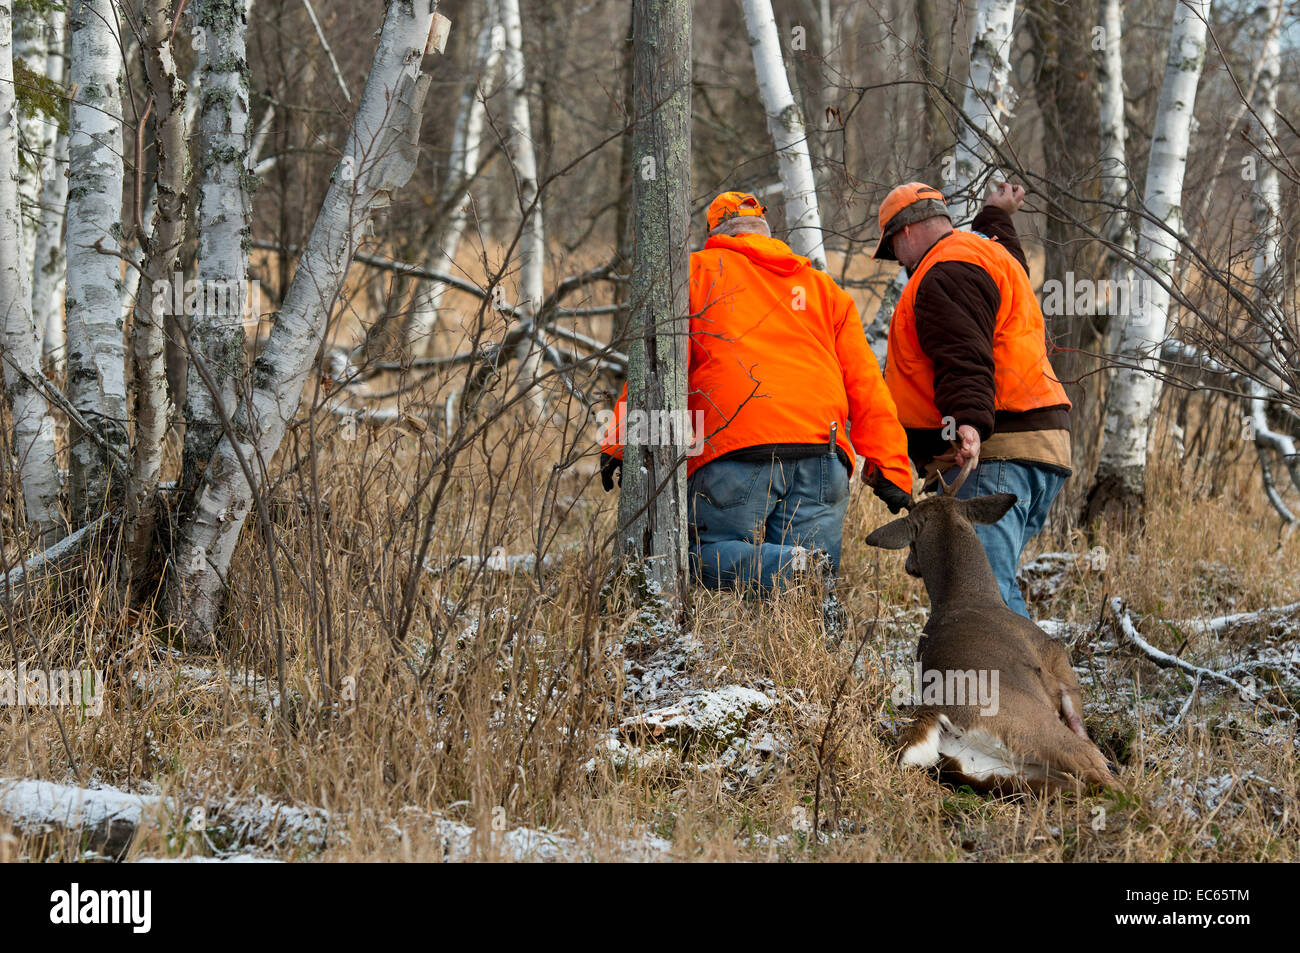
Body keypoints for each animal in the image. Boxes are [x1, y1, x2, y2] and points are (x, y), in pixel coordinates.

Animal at [865, 460, 1116, 794]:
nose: (909, 565)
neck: (968, 595)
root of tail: (935, 712)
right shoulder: (1056, 662)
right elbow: (1079, 719)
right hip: (1033, 725)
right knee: (1099, 769)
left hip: (1006, 774)